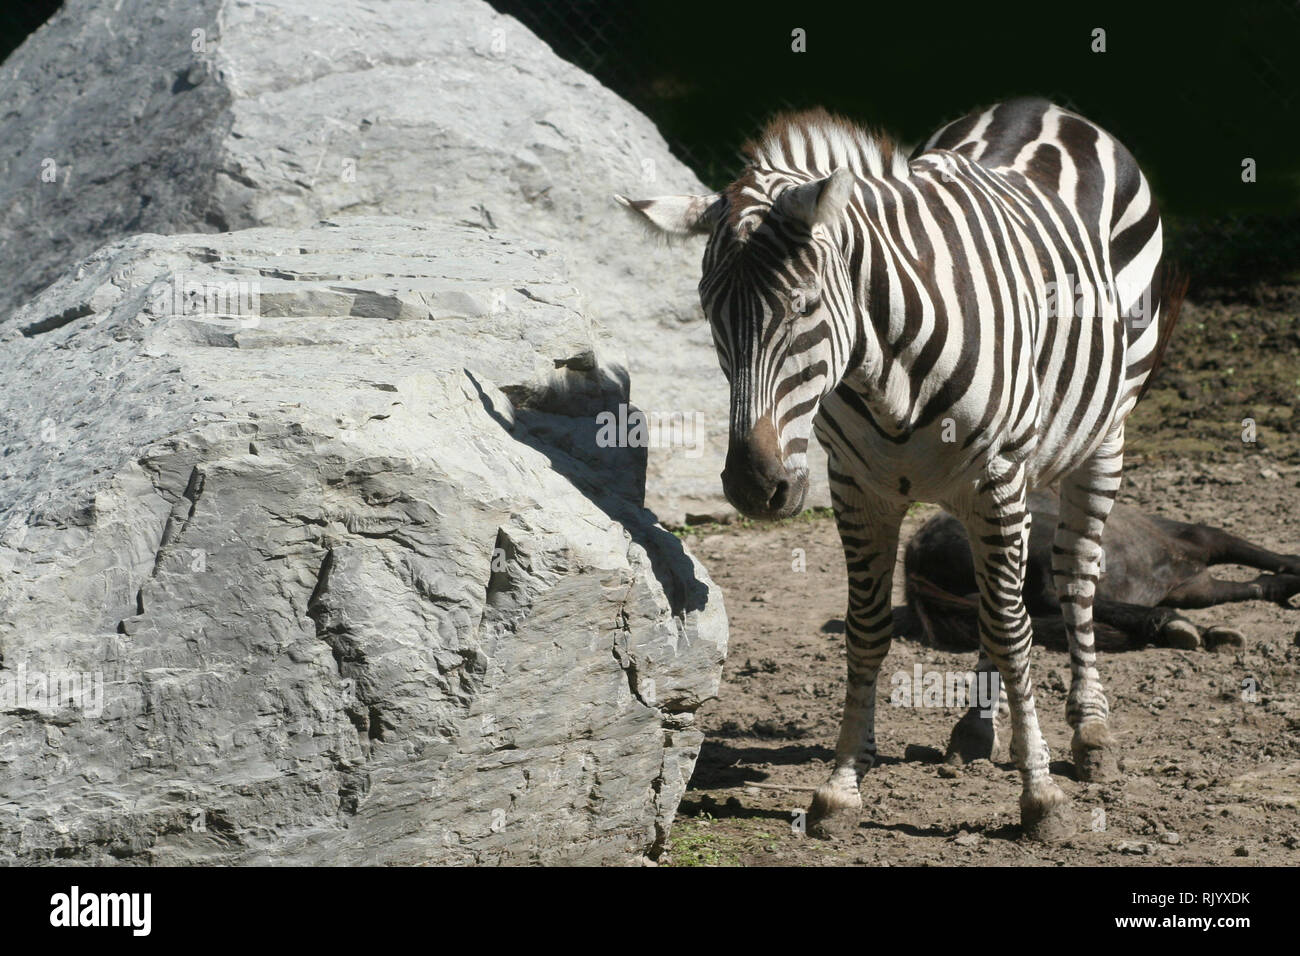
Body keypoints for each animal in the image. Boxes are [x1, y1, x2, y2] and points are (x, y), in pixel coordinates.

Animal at [617, 97, 1175, 840]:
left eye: (803, 308)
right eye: (710, 314)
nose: (754, 487)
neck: (888, 375)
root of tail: (1045, 108)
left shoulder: (996, 476)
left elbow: (1015, 630)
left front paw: (1041, 796)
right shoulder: (861, 491)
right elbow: (869, 631)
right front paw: (842, 787)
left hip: (1102, 436)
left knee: (1074, 579)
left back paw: (1090, 736)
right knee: (997, 600)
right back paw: (977, 727)